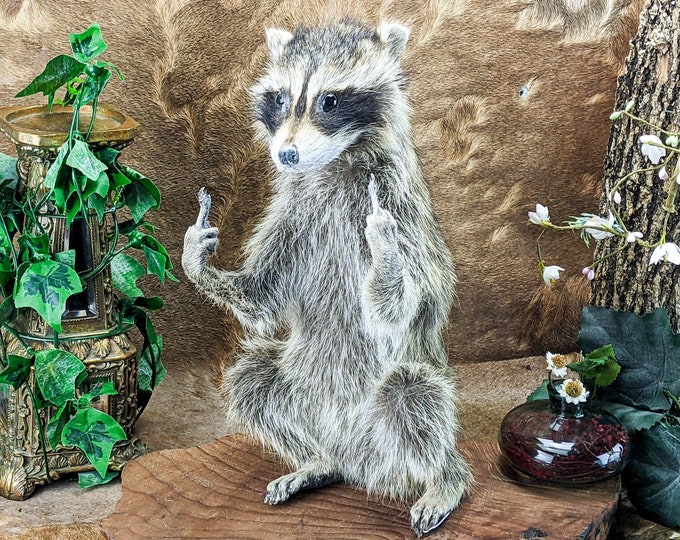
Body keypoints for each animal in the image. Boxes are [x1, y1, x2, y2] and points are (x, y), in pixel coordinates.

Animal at [182, 20, 472, 537]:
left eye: (330, 101)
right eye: (281, 98)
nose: (287, 155)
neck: (334, 164)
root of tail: (360, 461)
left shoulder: (401, 205)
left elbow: (397, 309)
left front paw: (385, 251)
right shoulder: (293, 211)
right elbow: (259, 302)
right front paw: (195, 257)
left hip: (395, 406)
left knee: (415, 395)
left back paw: (444, 478)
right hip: (301, 392)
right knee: (252, 377)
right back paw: (315, 460)